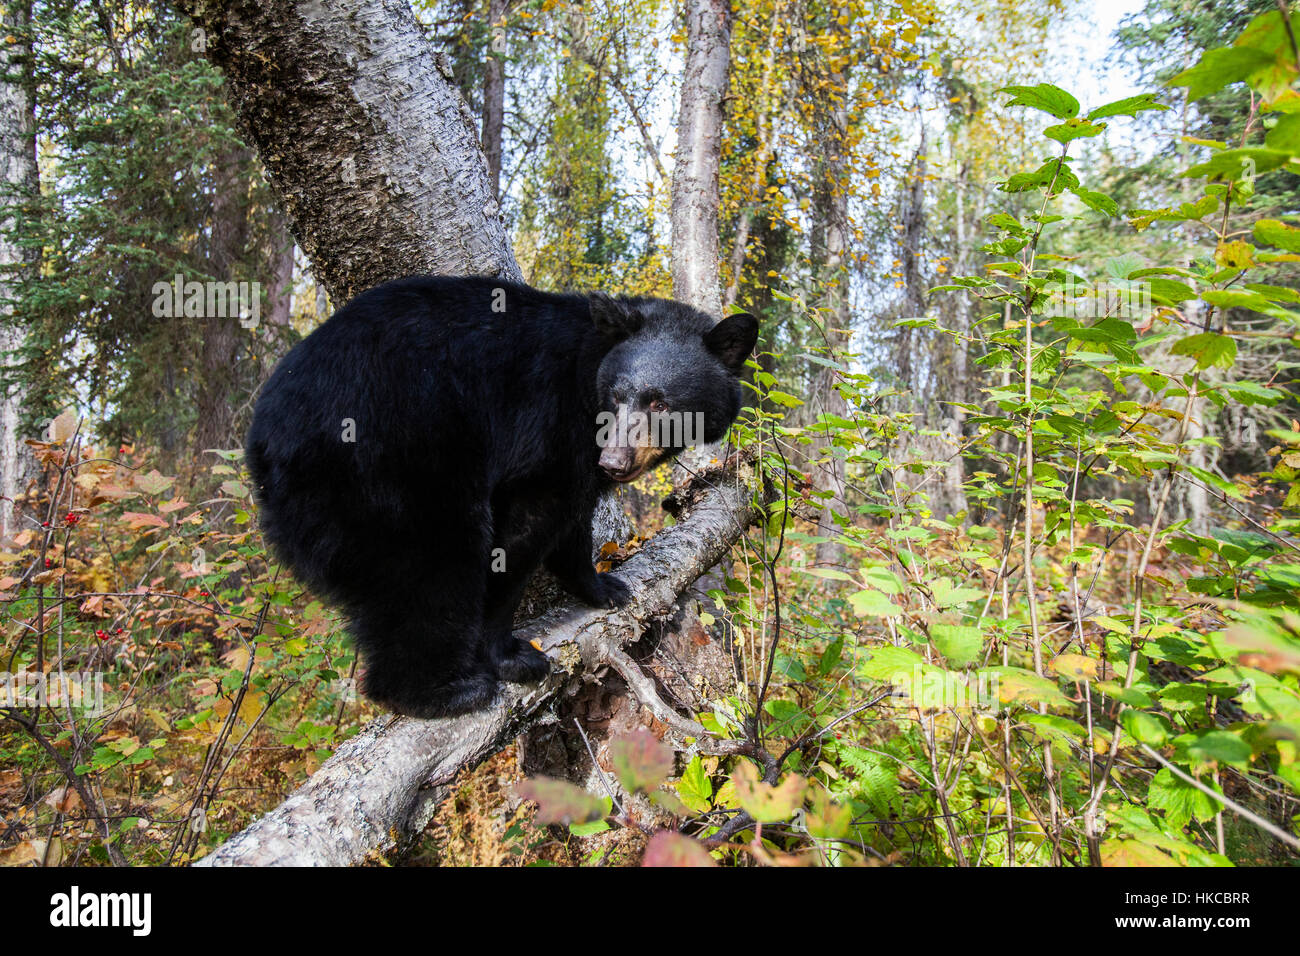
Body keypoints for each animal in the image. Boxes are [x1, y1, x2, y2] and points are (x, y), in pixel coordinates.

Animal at [245, 275, 758, 718]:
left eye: (659, 403)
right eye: (615, 396)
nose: (613, 462)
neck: (586, 364)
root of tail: (263, 441)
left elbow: (574, 519)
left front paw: (602, 586)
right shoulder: (548, 425)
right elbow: (524, 533)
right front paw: (511, 654)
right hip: (388, 469)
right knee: (432, 569)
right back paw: (446, 691)